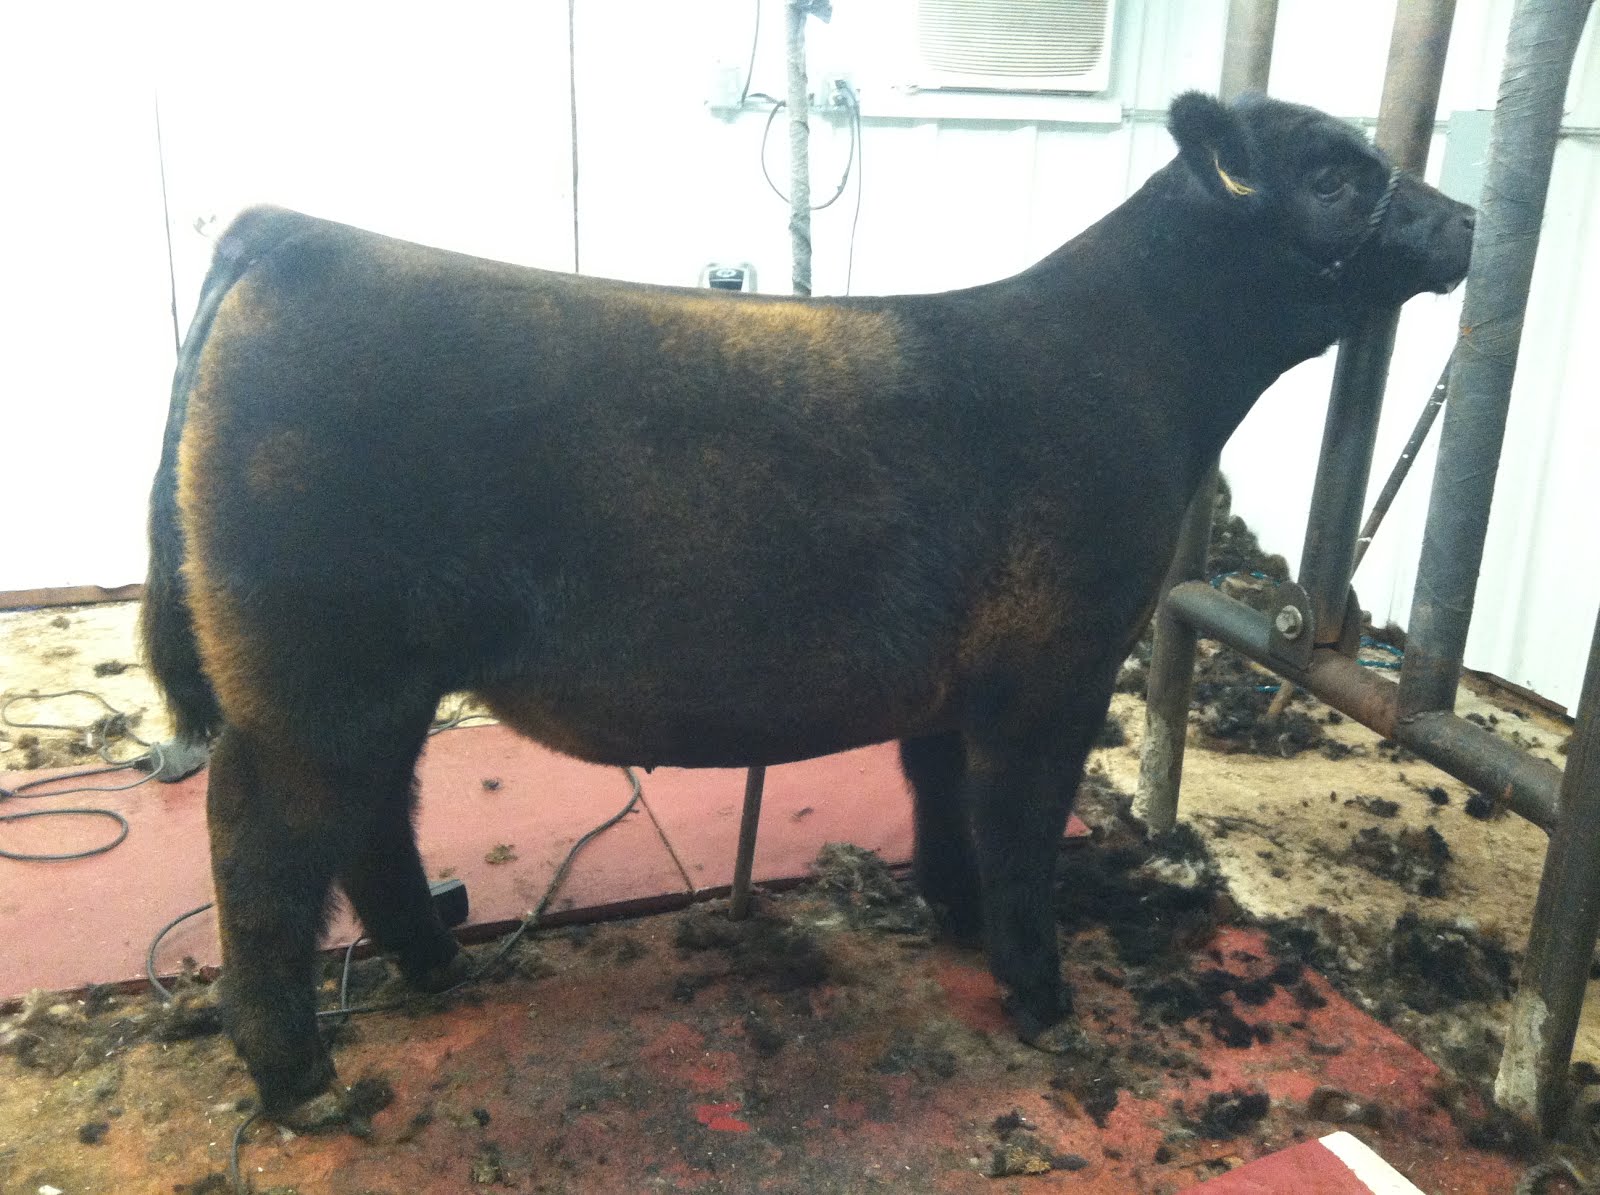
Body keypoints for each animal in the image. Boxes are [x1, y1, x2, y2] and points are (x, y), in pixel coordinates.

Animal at [143, 91, 1474, 1127]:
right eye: (1333, 175)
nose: (1464, 221)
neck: (1137, 364)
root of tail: (288, 235)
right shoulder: (1054, 667)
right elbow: (1019, 828)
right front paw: (1042, 998)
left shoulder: (960, 679)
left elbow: (943, 800)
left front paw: (954, 921)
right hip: (315, 673)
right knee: (264, 842)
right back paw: (302, 1079)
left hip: (381, 679)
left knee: (370, 824)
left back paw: (435, 965)